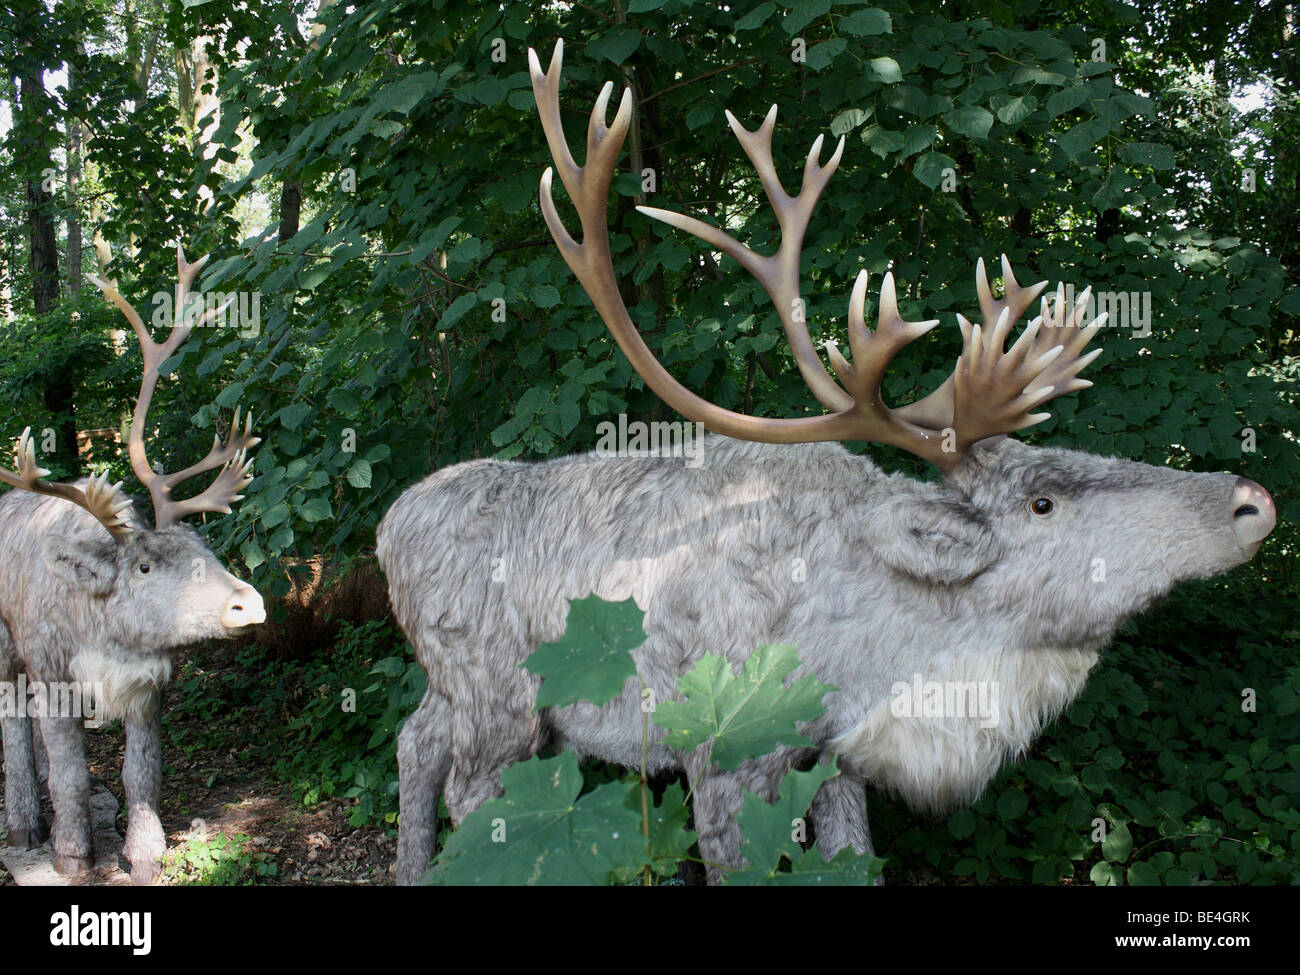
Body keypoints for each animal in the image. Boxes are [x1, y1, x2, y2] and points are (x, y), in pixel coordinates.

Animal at [0, 246, 266, 884]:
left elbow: (142, 773)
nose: (248, 603)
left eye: (205, 548)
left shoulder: (149, 684)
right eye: (143, 567)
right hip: (5, 646)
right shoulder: (52, 671)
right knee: (13, 726)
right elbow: (72, 774)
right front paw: (73, 855)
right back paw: (25, 823)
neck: (105, 631)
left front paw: (144, 853)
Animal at [376, 41, 1277, 885]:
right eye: (1043, 501)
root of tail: (387, 529)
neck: (886, 653)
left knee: (413, 742)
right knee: (472, 796)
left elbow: (852, 857)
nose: (1253, 500)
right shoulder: (722, 749)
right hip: (499, 696)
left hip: (454, 686)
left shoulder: (835, 753)